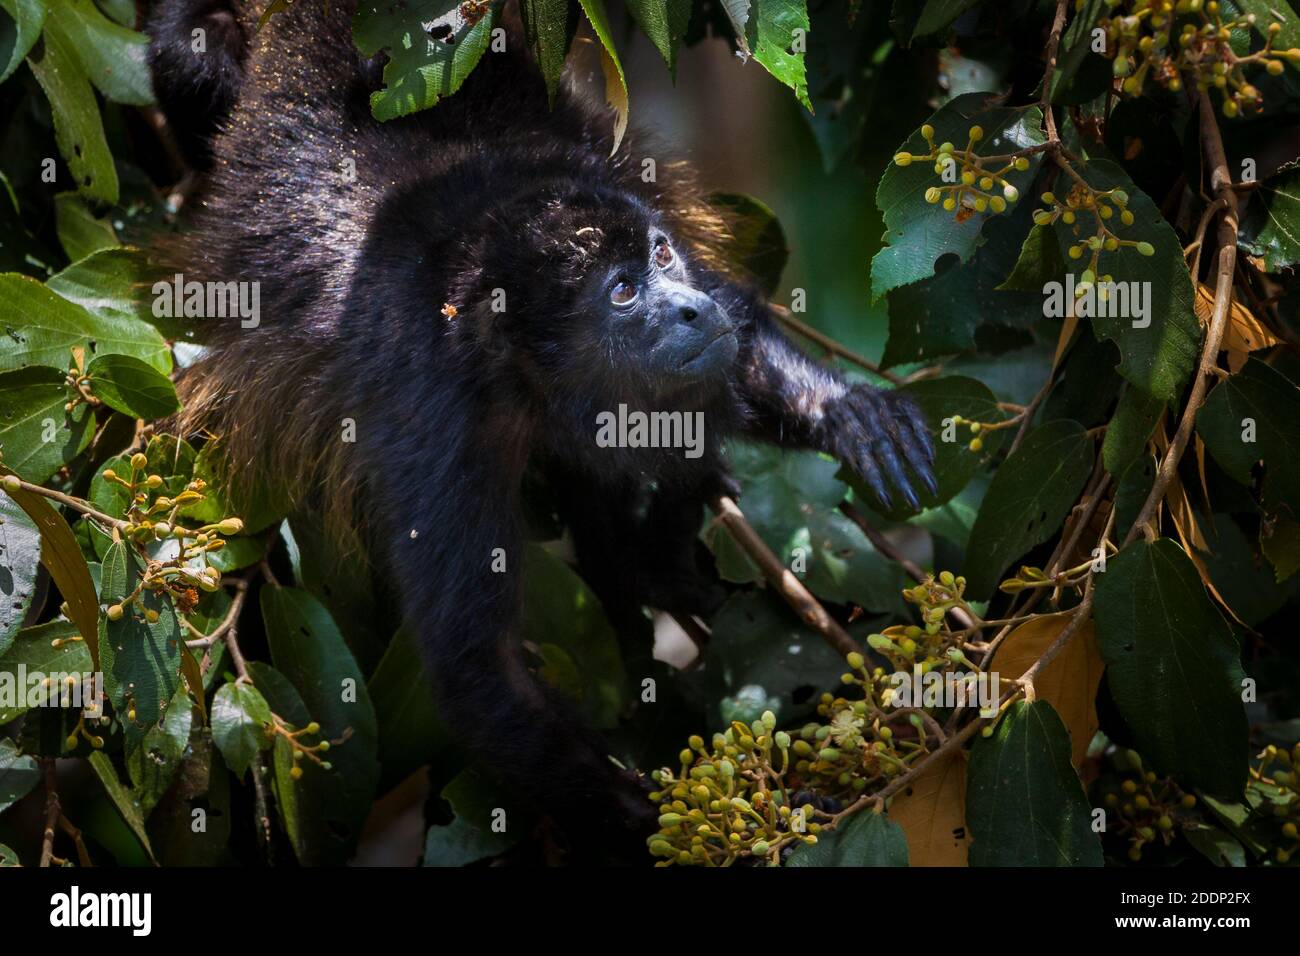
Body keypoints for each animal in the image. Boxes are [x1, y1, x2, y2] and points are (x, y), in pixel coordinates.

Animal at [146, 0, 936, 856]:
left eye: (663, 257)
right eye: (621, 291)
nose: (691, 308)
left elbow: (742, 333)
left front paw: (845, 415)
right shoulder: (435, 417)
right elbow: (482, 665)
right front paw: (661, 825)